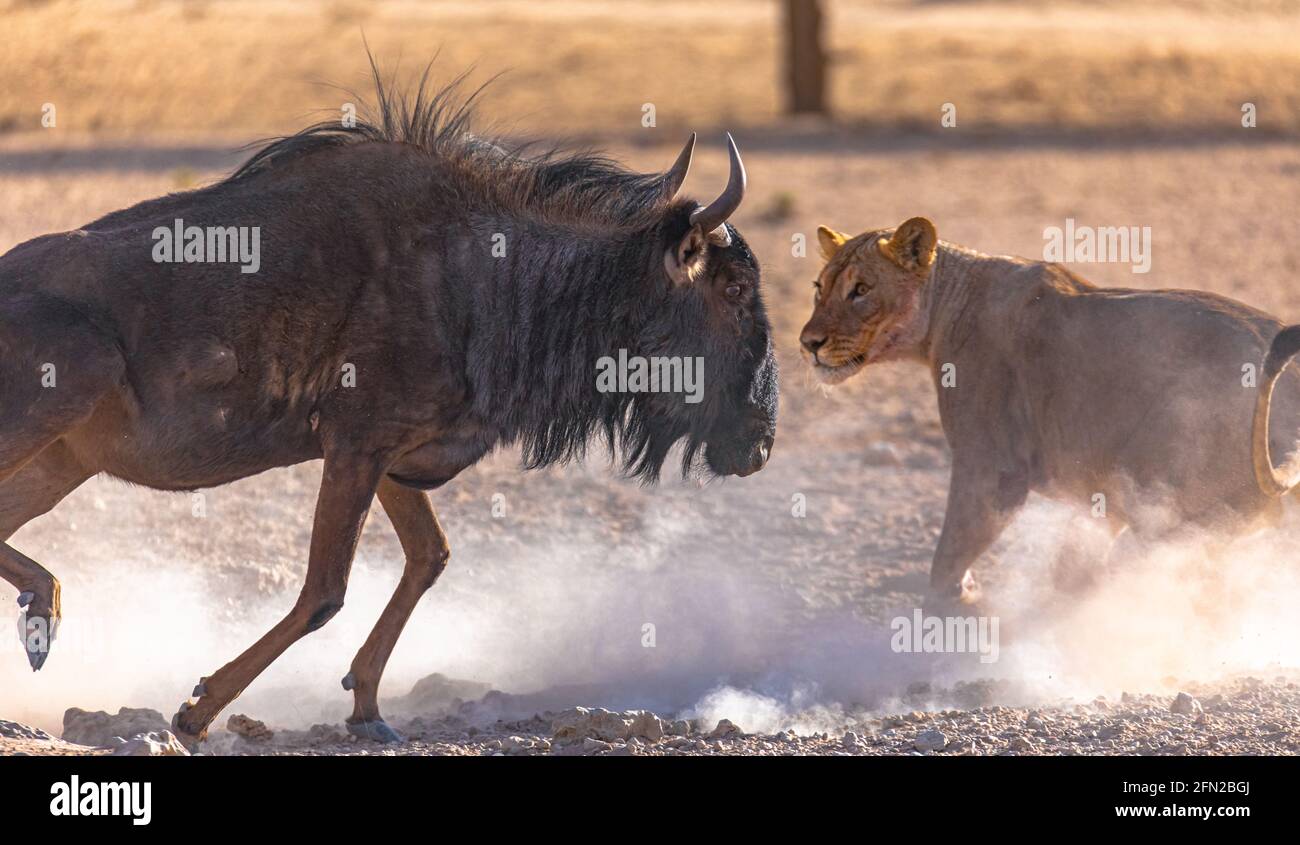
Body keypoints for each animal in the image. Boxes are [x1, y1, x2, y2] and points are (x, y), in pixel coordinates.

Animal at [800, 216, 1300, 602]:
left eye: (861, 290)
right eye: (819, 288)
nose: (808, 344)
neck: (944, 307)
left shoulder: (991, 469)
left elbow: (947, 561)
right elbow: (1073, 561)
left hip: (1170, 492)